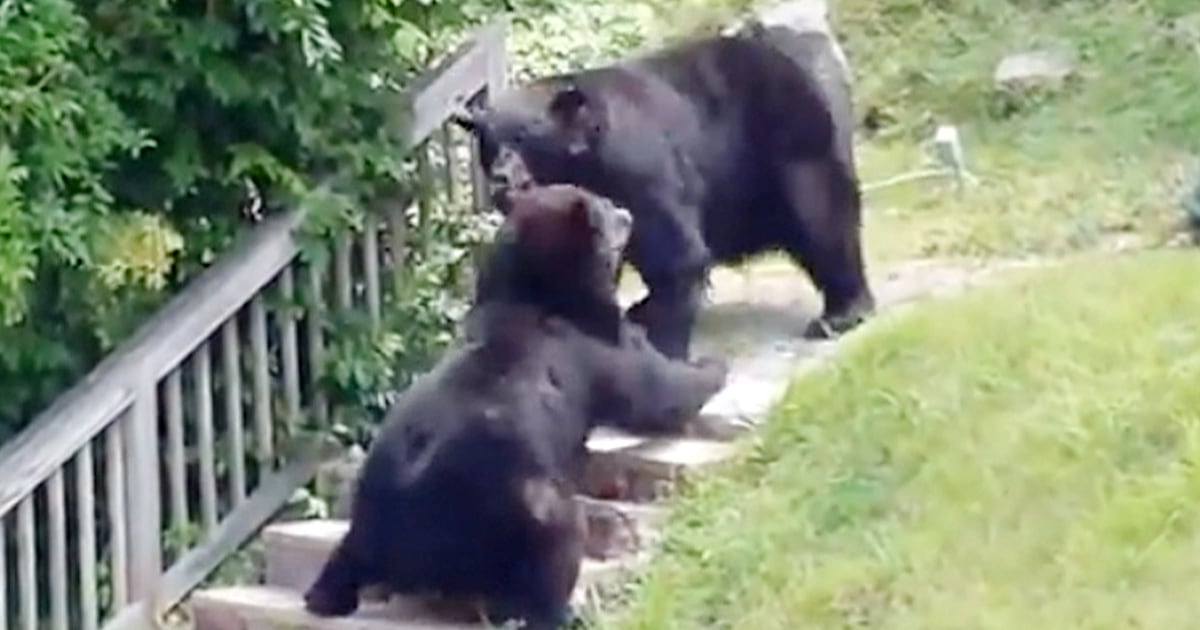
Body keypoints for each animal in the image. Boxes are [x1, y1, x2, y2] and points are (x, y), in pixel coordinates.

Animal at [302, 184, 728, 629]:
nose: (627, 214)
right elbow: (657, 388)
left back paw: (325, 594)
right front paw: (711, 366)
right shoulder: (597, 343)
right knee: (557, 539)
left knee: (347, 551)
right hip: (514, 502)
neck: (535, 292)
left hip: (375, 501)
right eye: (605, 209)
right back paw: (557, 609)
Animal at [453, 27, 876, 360]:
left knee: (820, 216)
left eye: (524, 138)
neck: (587, 158)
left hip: (787, 142)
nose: (502, 180)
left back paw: (841, 312)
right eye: (488, 144)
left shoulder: (638, 166)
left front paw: (664, 343)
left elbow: (677, 254)